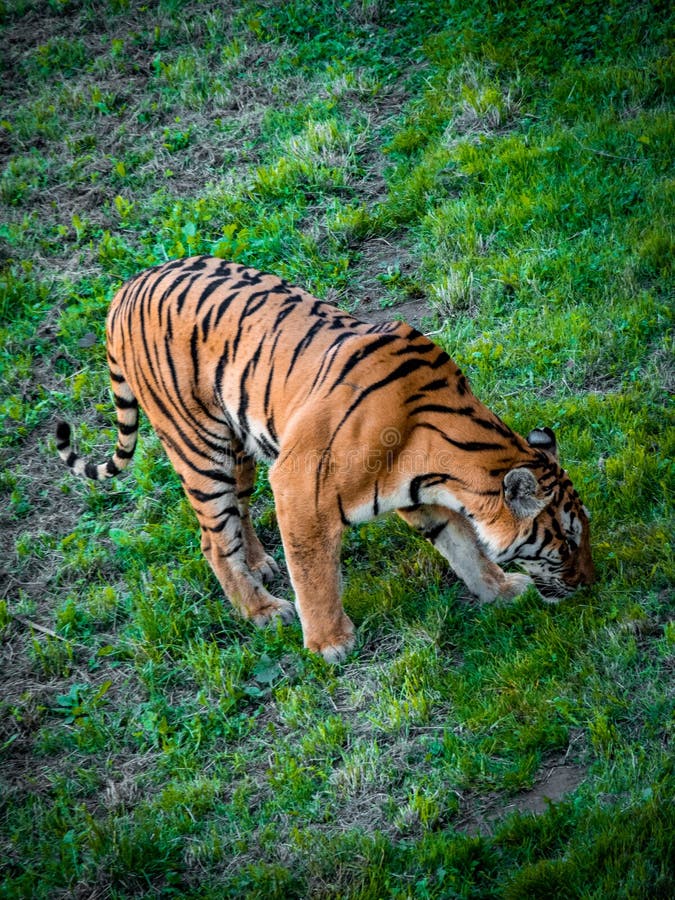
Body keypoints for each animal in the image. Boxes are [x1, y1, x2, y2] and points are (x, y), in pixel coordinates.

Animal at [56, 255, 595, 662]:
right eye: (567, 541)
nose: (590, 583)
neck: (444, 465)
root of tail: (126, 287)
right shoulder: (298, 486)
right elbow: (314, 574)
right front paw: (328, 644)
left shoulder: (426, 497)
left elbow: (467, 549)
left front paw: (500, 592)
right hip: (198, 446)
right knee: (213, 540)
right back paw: (262, 610)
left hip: (240, 444)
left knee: (237, 511)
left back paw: (259, 563)